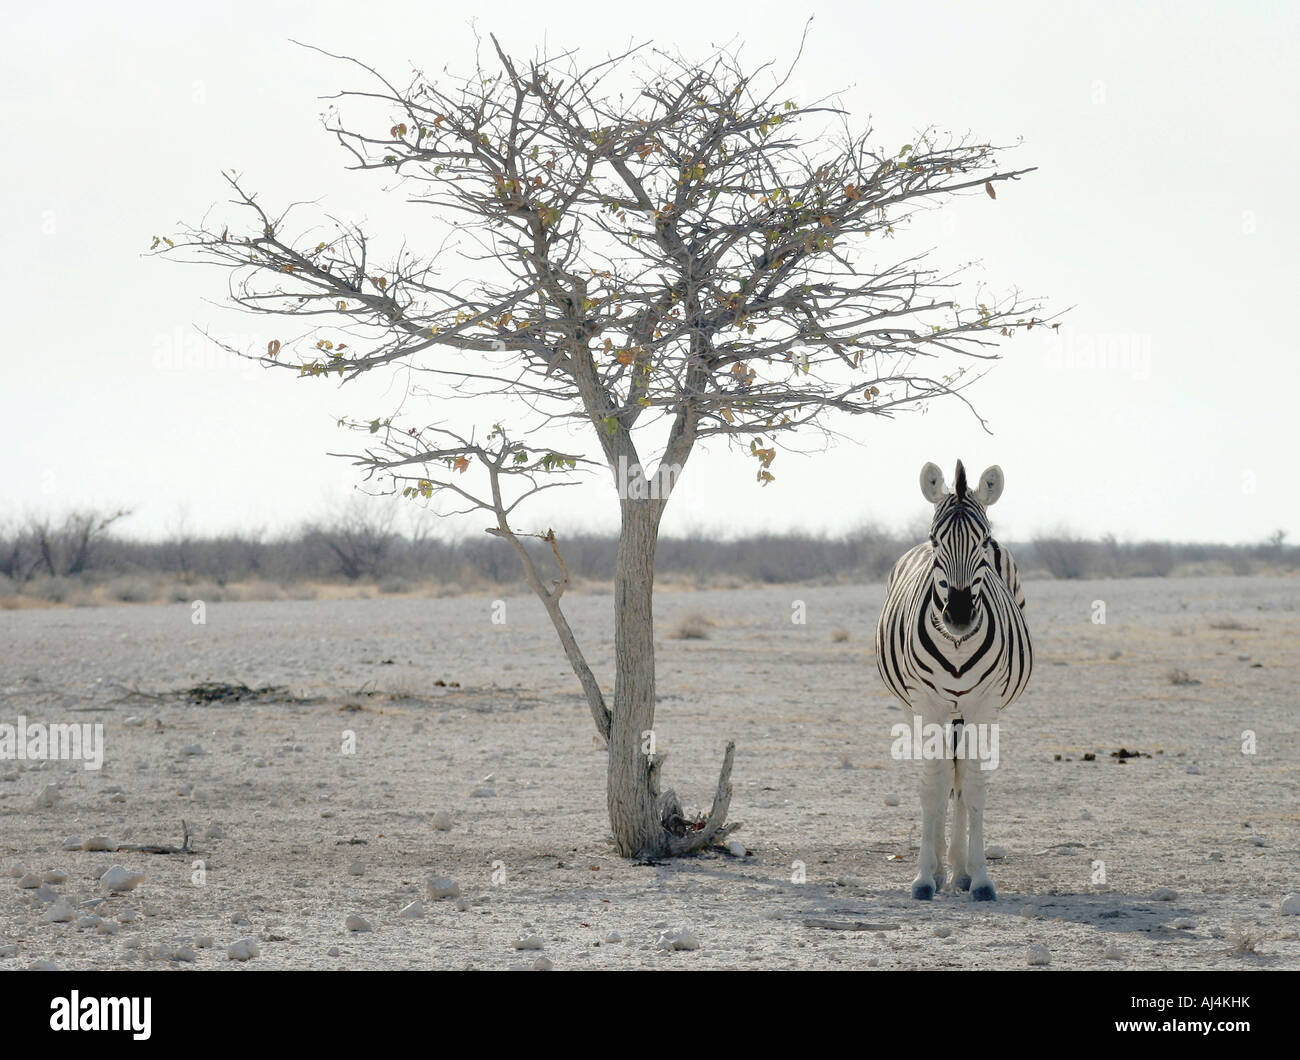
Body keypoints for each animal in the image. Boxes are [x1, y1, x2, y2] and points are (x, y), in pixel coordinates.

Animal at [875, 459, 1033, 901]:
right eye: (935, 540)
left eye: (985, 539)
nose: (959, 615)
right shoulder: (926, 705)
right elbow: (934, 784)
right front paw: (925, 877)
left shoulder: (983, 704)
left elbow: (974, 785)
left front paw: (979, 877)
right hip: (929, 708)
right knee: (947, 774)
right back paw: (944, 869)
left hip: (966, 711)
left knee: (961, 778)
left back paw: (959, 871)